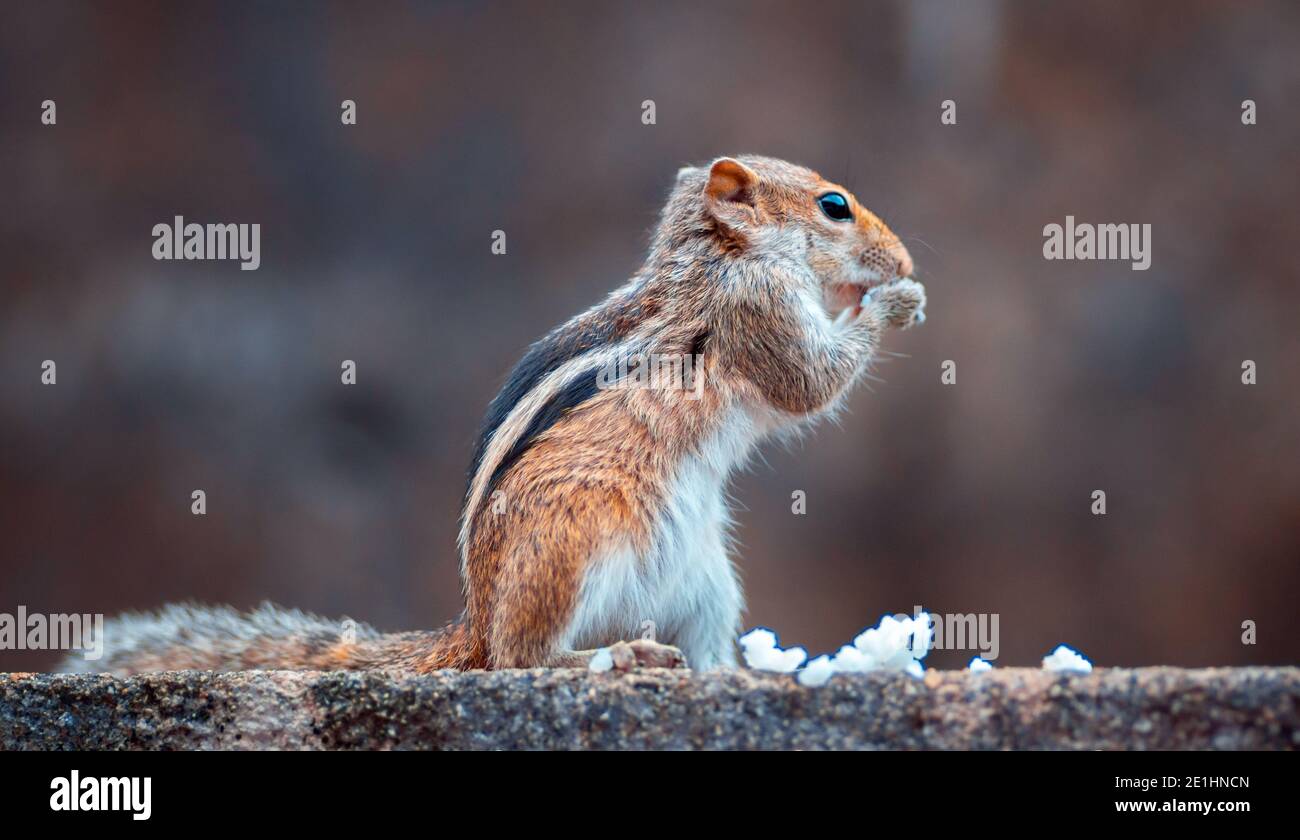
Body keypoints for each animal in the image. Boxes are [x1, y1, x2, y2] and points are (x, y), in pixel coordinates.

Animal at [62, 155, 925, 676]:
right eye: (834, 206)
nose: (906, 259)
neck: (713, 254)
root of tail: (472, 623)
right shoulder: (759, 312)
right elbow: (810, 382)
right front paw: (891, 302)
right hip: (571, 544)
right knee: (521, 659)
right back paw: (604, 661)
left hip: (706, 583)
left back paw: (724, 672)